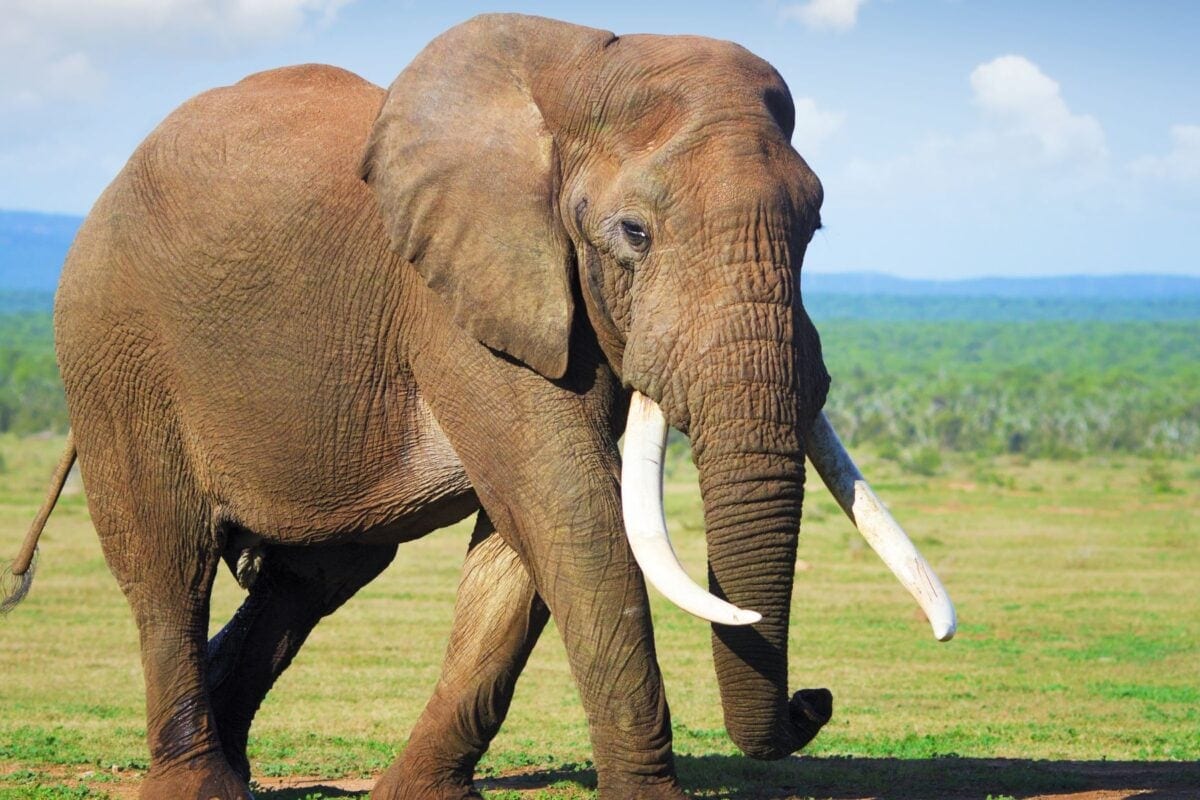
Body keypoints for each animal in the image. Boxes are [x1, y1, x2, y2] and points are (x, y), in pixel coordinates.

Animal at [2, 13, 955, 800]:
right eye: (634, 235)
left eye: (815, 230)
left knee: (316, 575)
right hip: (112, 345)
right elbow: (568, 506)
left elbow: (526, 543)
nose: (814, 699)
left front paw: (415, 798)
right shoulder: (457, 297)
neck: (578, 69)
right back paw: (197, 784)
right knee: (170, 561)